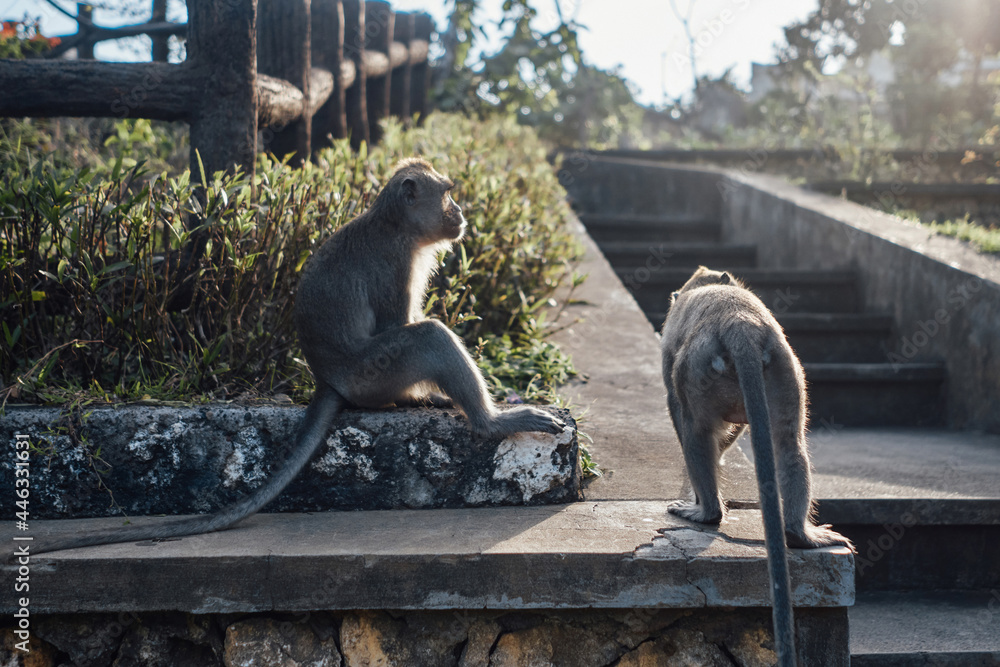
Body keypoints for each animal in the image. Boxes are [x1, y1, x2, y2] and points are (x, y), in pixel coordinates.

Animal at [28, 158, 564, 557]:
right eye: (448, 193)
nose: (460, 212)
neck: (394, 224)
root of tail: (329, 379)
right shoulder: (395, 262)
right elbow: (401, 321)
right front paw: (434, 396)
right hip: (372, 373)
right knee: (427, 336)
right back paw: (490, 421)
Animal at [659, 266, 853, 667]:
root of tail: (740, 324)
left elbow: (682, 415)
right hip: (785, 369)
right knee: (789, 444)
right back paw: (799, 534)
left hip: (697, 368)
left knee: (693, 428)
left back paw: (706, 512)